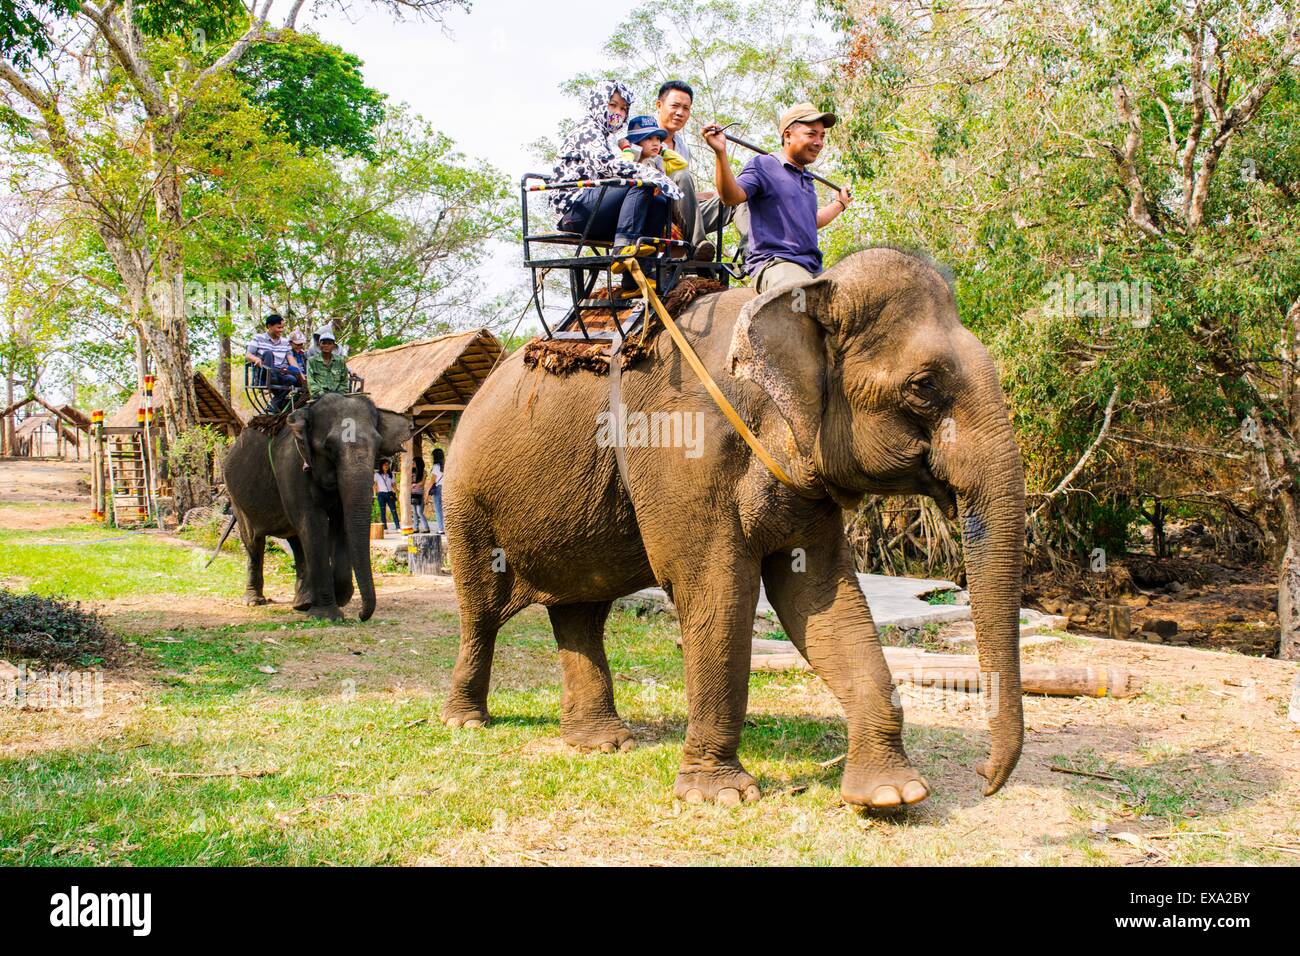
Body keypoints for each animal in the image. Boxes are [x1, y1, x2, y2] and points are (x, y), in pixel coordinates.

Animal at [215, 392, 413, 621]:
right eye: (328, 448)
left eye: (378, 445)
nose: (361, 616)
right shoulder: (292, 466)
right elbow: (313, 523)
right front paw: (327, 615)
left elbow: (340, 522)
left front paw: (340, 596)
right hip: (235, 495)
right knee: (254, 540)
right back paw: (254, 601)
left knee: (295, 538)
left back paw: (302, 602)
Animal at [441, 247, 1025, 809]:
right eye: (923, 387)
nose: (985, 778)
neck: (798, 297)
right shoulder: (683, 442)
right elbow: (717, 590)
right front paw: (720, 795)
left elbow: (818, 595)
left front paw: (890, 795)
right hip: (464, 498)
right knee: (482, 608)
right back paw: (465, 720)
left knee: (580, 610)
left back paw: (603, 743)